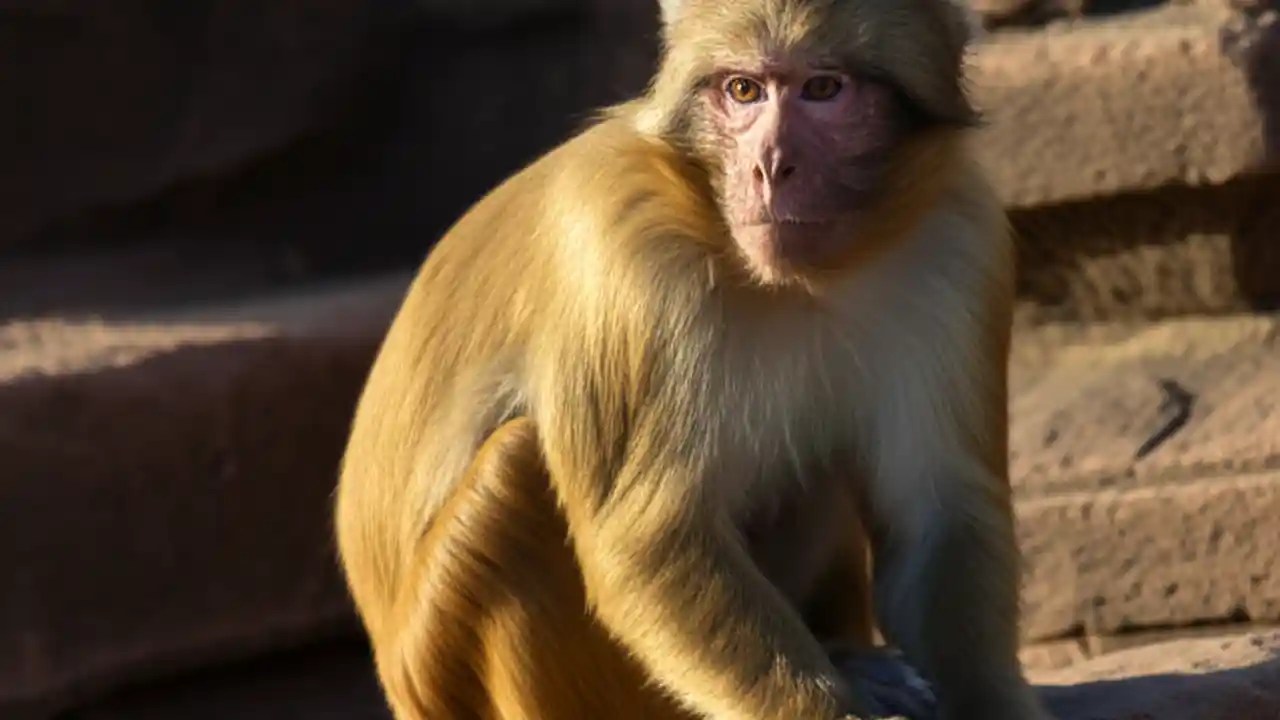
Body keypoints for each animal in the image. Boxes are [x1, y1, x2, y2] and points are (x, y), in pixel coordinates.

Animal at [334, 0, 1052, 718]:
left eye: (823, 89)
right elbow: (651, 542)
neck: (801, 281)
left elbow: (937, 519)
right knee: (513, 479)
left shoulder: (958, 237)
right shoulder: (627, 256)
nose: (770, 166)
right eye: (743, 90)